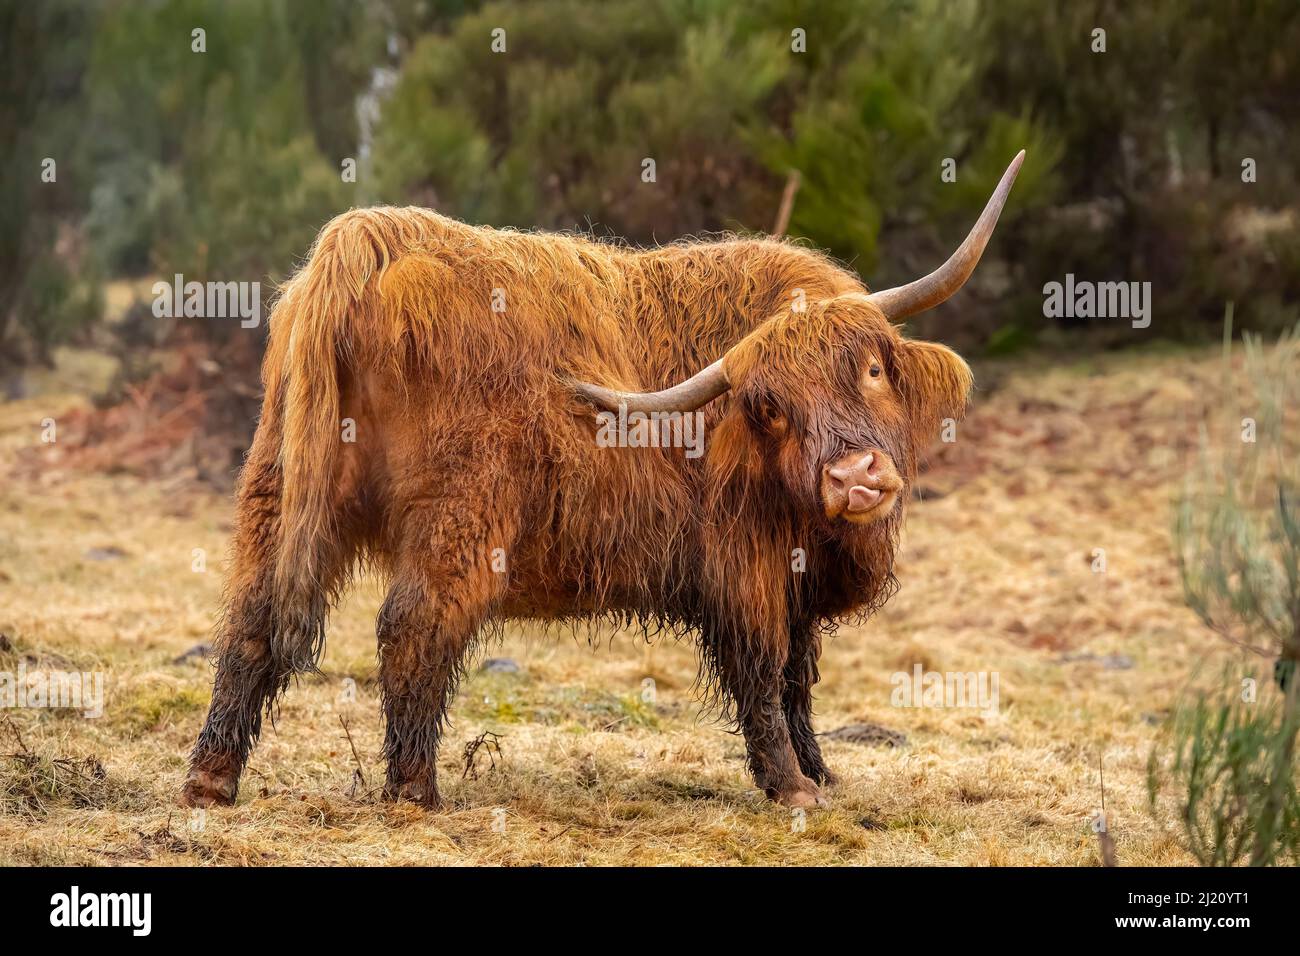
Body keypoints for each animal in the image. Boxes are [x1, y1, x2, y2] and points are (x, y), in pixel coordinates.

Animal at [180, 152, 1024, 811]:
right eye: (771, 407)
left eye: (872, 369)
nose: (855, 478)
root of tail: (369, 239)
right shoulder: (742, 566)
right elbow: (762, 671)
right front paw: (792, 788)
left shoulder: (796, 579)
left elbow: (798, 675)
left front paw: (822, 772)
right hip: (460, 516)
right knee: (412, 625)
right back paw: (414, 790)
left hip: (279, 492)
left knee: (251, 620)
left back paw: (210, 781)